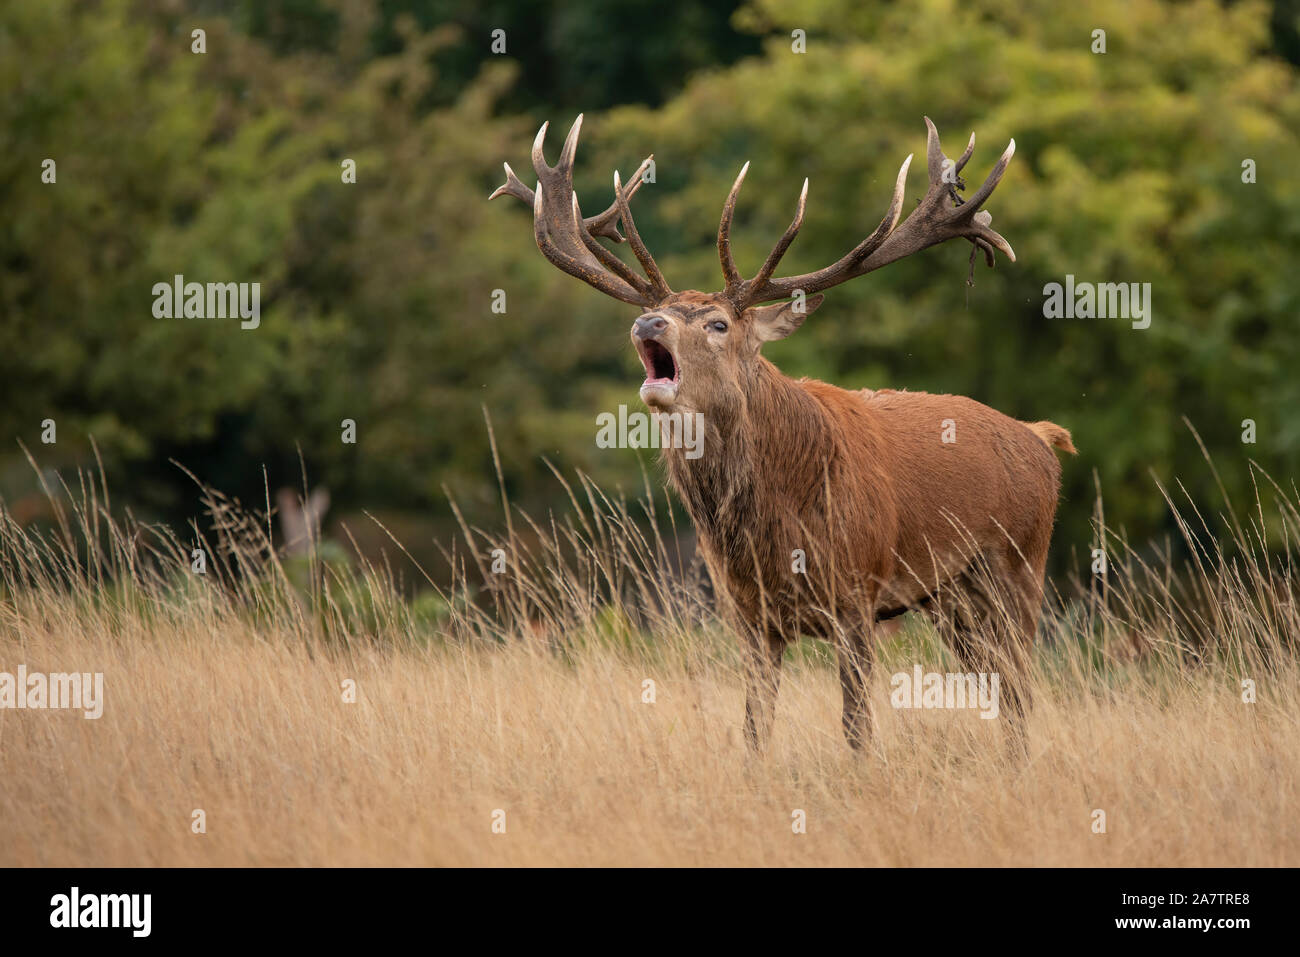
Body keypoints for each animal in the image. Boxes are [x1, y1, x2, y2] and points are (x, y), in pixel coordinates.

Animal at [490, 114, 1075, 752]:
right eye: (660, 313)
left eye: (718, 323)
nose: (647, 322)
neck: (774, 526)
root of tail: (1043, 440)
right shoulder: (750, 616)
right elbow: (753, 730)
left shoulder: (857, 596)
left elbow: (856, 728)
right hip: (953, 601)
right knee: (999, 688)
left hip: (1020, 569)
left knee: (1020, 690)